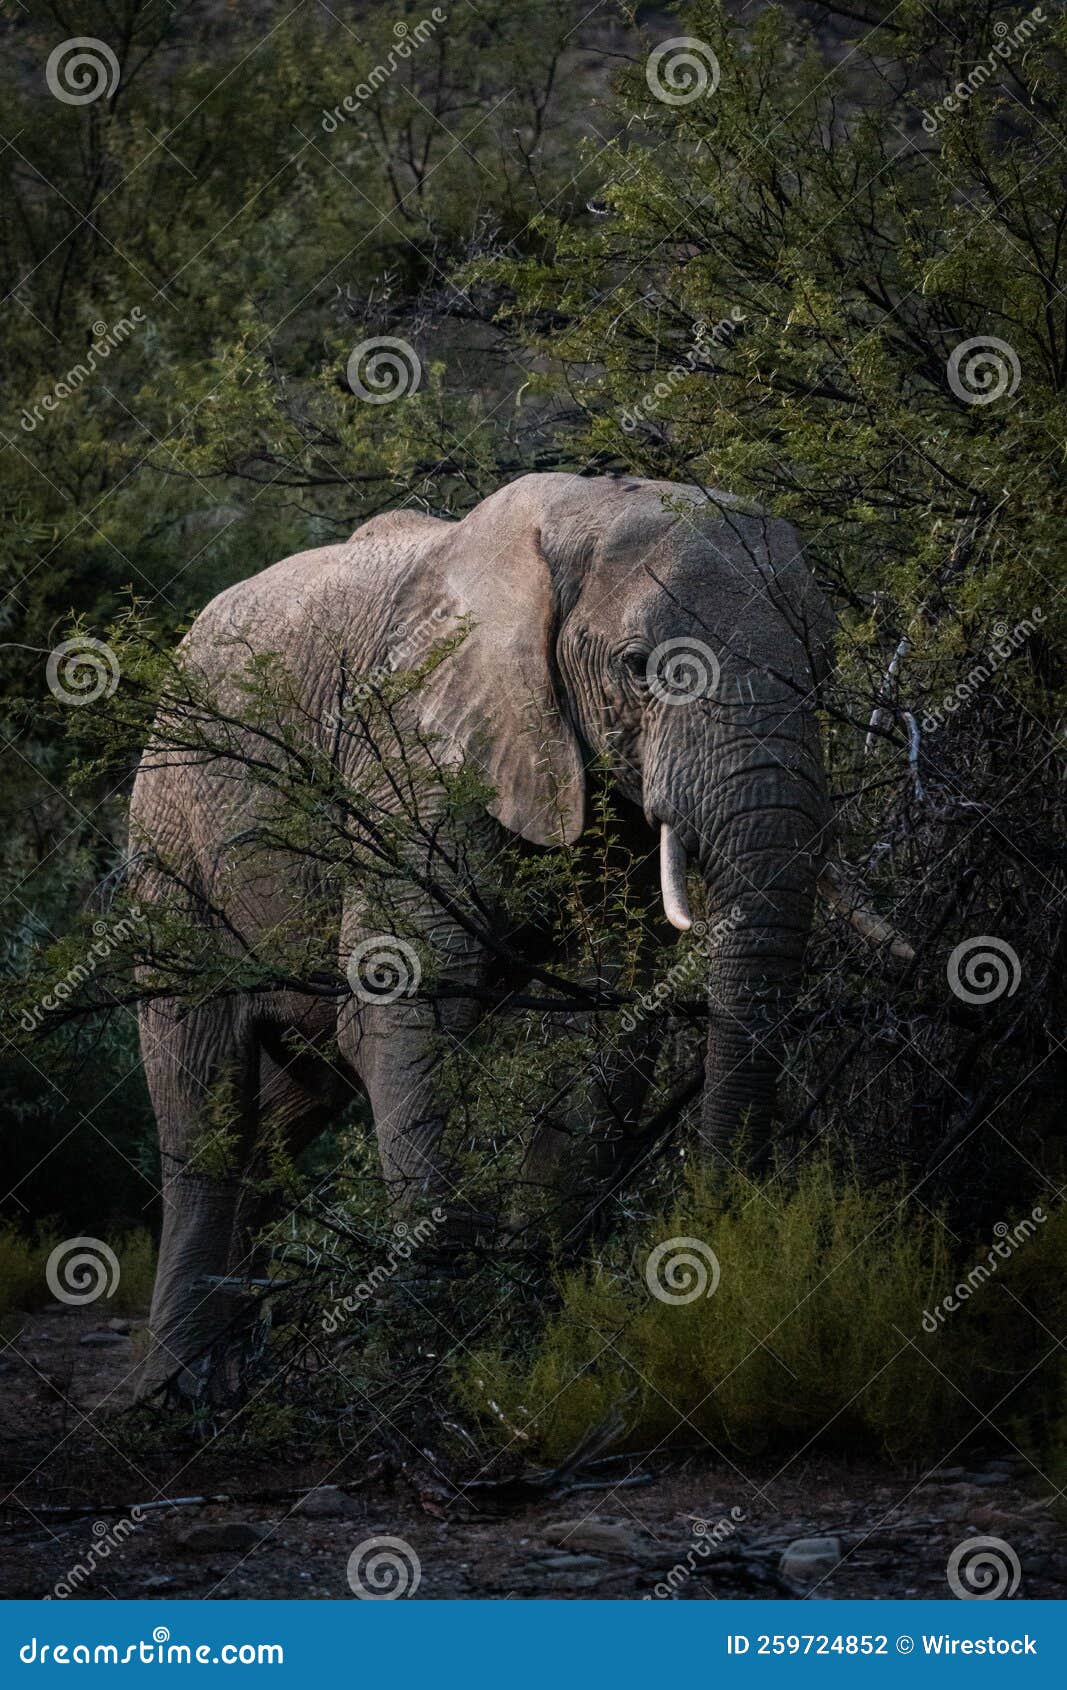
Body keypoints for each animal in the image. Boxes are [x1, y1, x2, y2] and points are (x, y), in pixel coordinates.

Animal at [129, 471, 902, 1398]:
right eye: (638, 670)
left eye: (821, 665)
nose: (725, 1236)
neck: (578, 517)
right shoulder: (412, 762)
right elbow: (404, 1007)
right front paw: (433, 1346)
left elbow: (611, 1012)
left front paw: (533, 1310)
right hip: (169, 832)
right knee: (200, 1089)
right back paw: (174, 1392)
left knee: (294, 1099)